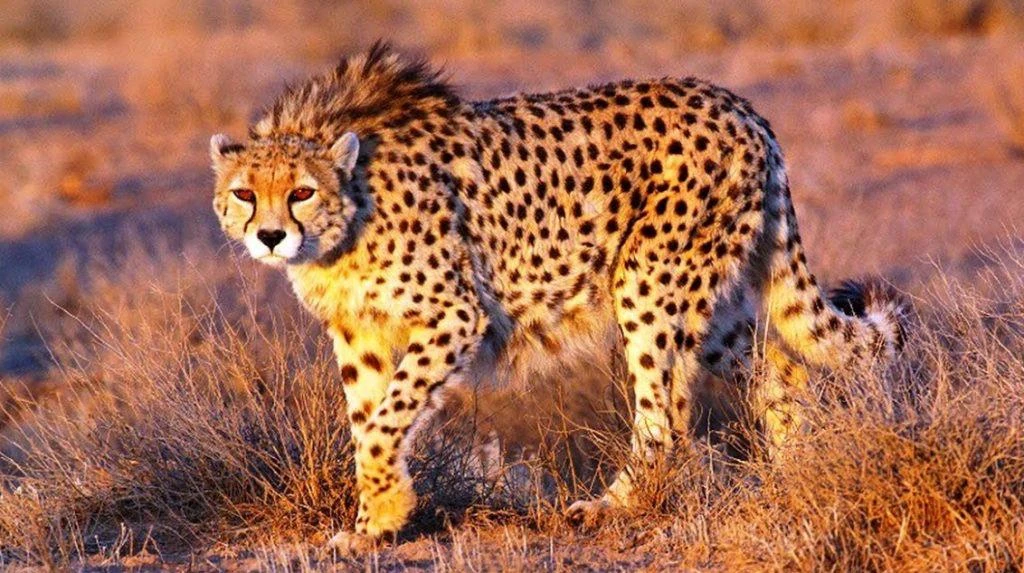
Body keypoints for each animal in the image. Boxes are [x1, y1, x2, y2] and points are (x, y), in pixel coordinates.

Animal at [209, 42, 908, 551]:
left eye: (301, 191)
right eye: (244, 193)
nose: (270, 236)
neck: (347, 217)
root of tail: (737, 105)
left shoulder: (455, 317)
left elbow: (386, 421)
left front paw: (383, 510)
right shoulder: (360, 334)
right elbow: (367, 422)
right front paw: (373, 524)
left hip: (649, 282)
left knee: (667, 419)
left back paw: (614, 506)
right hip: (709, 304)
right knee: (781, 368)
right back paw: (795, 470)